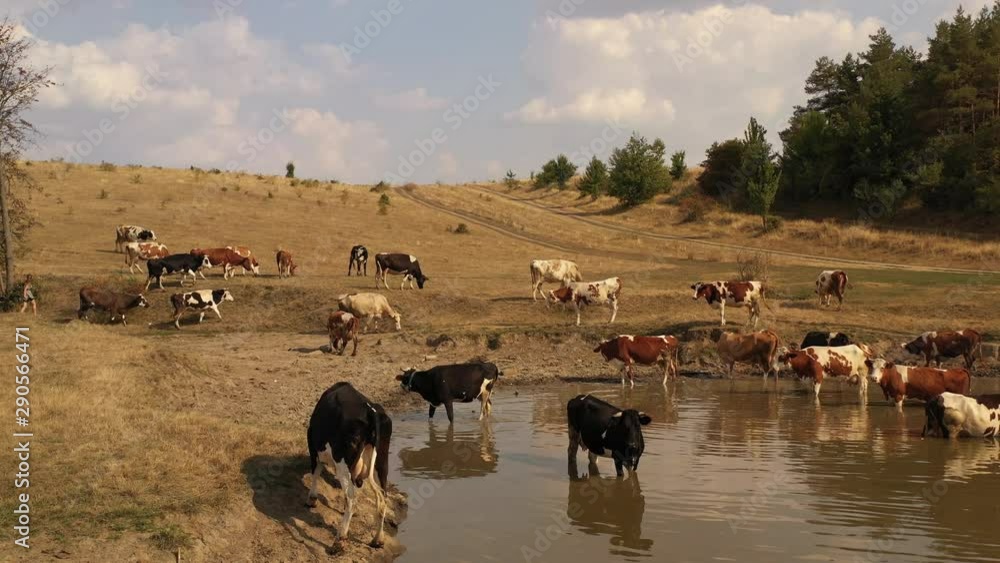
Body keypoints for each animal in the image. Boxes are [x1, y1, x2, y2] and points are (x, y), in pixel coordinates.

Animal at [306, 382, 392, 549]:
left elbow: (316, 470)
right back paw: (378, 539)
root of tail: (371, 411)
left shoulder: (313, 442)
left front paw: (312, 498)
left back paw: (340, 539)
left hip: (343, 464)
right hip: (381, 464)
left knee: (351, 497)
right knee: (382, 498)